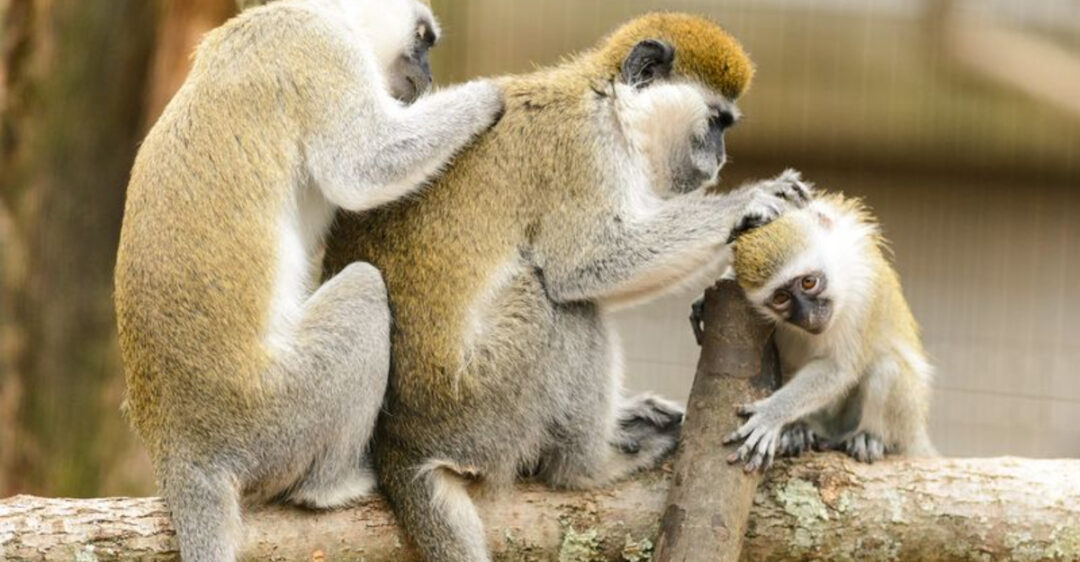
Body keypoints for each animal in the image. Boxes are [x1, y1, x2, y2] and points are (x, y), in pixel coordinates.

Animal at [113, 0, 503, 560]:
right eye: (424, 40)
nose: (427, 77)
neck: (322, 11)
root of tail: (181, 444)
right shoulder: (320, 49)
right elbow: (364, 167)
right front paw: (492, 95)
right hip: (279, 414)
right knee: (364, 292)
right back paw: (328, 488)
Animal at [323, 13, 812, 561]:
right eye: (717, 122)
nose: (722, 159)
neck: (610, 105)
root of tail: (399, 444)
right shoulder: (582, 150)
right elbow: (582, 267)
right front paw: (747, 203)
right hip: (482, 405)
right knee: (560, 306)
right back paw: (586, 467)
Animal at [720, 192, 937, 472]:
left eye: (809, 282)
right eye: (781, 298)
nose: (808, 315)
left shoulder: (864, 291)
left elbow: (837, 367)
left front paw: (772, 414)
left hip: (901, 423)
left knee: (886, 367)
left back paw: (870, 436)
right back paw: (799, 430)